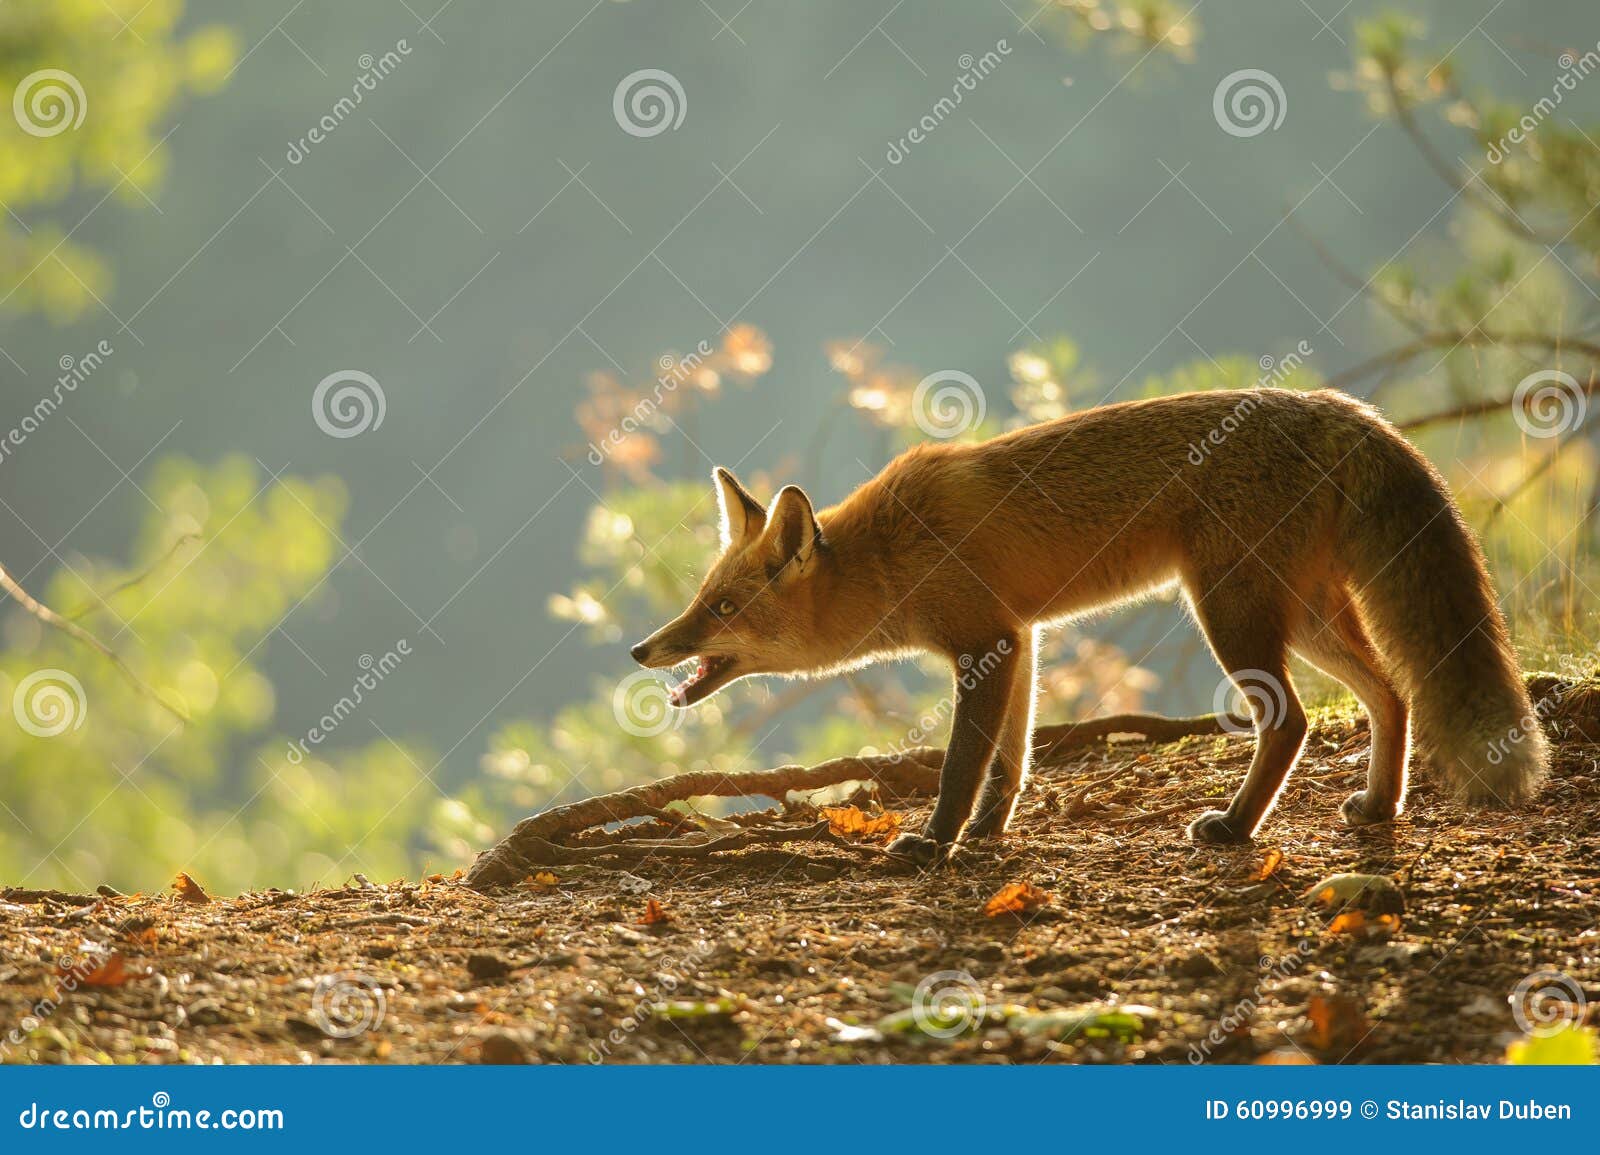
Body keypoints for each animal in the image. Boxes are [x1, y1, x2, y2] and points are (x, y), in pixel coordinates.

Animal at [629, 387, 1548, 865]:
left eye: (721, 609)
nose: (643, 648)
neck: (891, 551)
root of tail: (1335, 405)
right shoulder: (1019, 638)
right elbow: (1011, 760)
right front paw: (989, 834)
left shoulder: (984, 642)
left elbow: (961, 765)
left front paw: (935, 842)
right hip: (1308, 614)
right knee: (1392, 693)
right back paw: (1379, 804)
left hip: (1232, 613)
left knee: (1289, 721)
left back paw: (1236, 828)